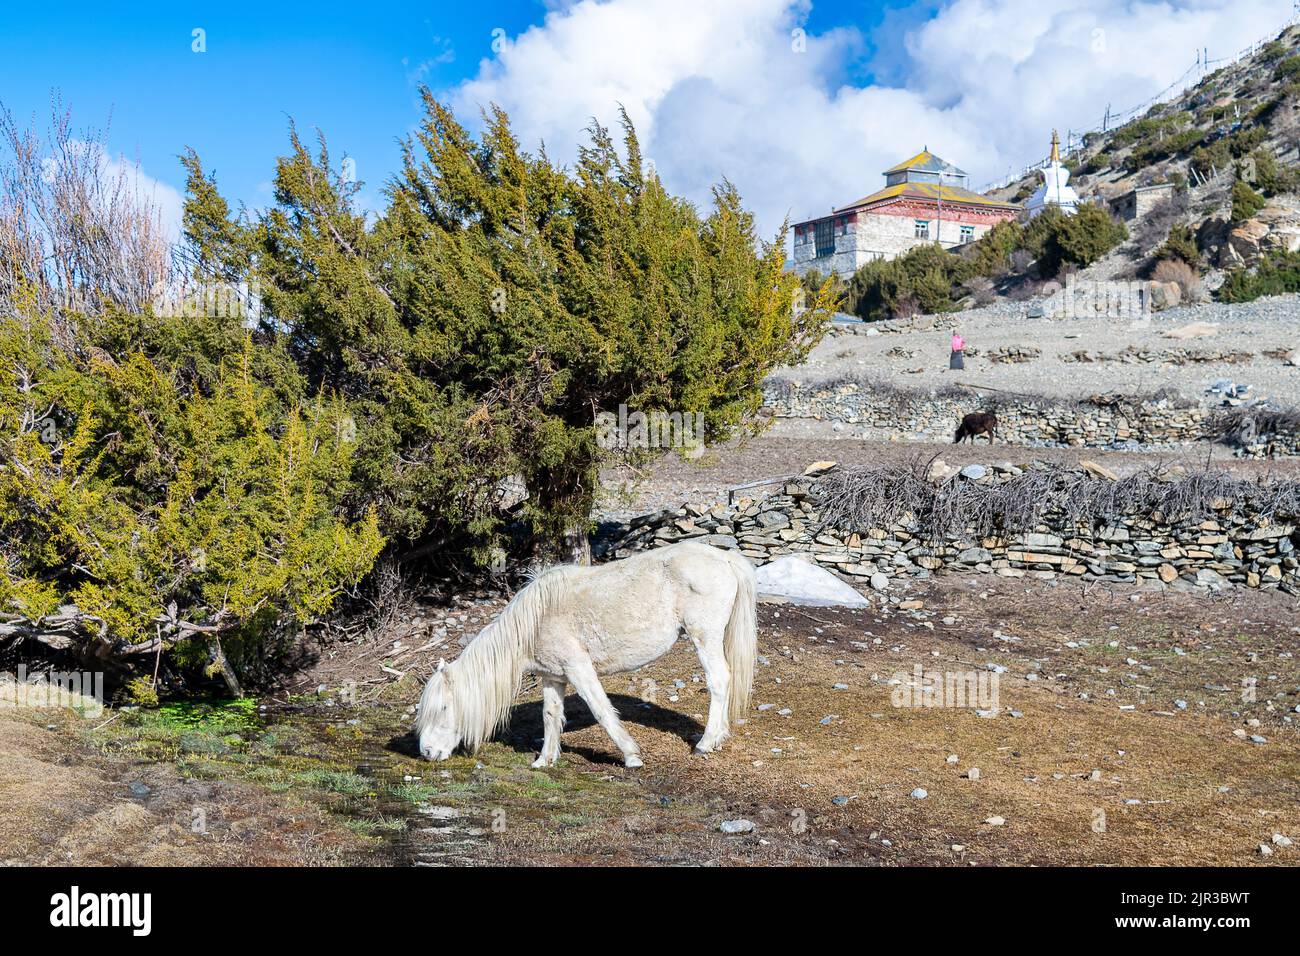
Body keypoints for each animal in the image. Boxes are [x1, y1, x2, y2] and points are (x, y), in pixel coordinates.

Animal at [414, 541, 757, 769]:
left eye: (443, 707)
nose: (427, 752)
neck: (536, 619)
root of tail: (724, 557)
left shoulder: (579, 669)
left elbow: (601, 710)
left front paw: (631, 756)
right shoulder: (552, 677)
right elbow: (551, 715)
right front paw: (544, 761)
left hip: (705, 637)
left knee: (719, 681)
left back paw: (705, 744)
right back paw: (718, 739)